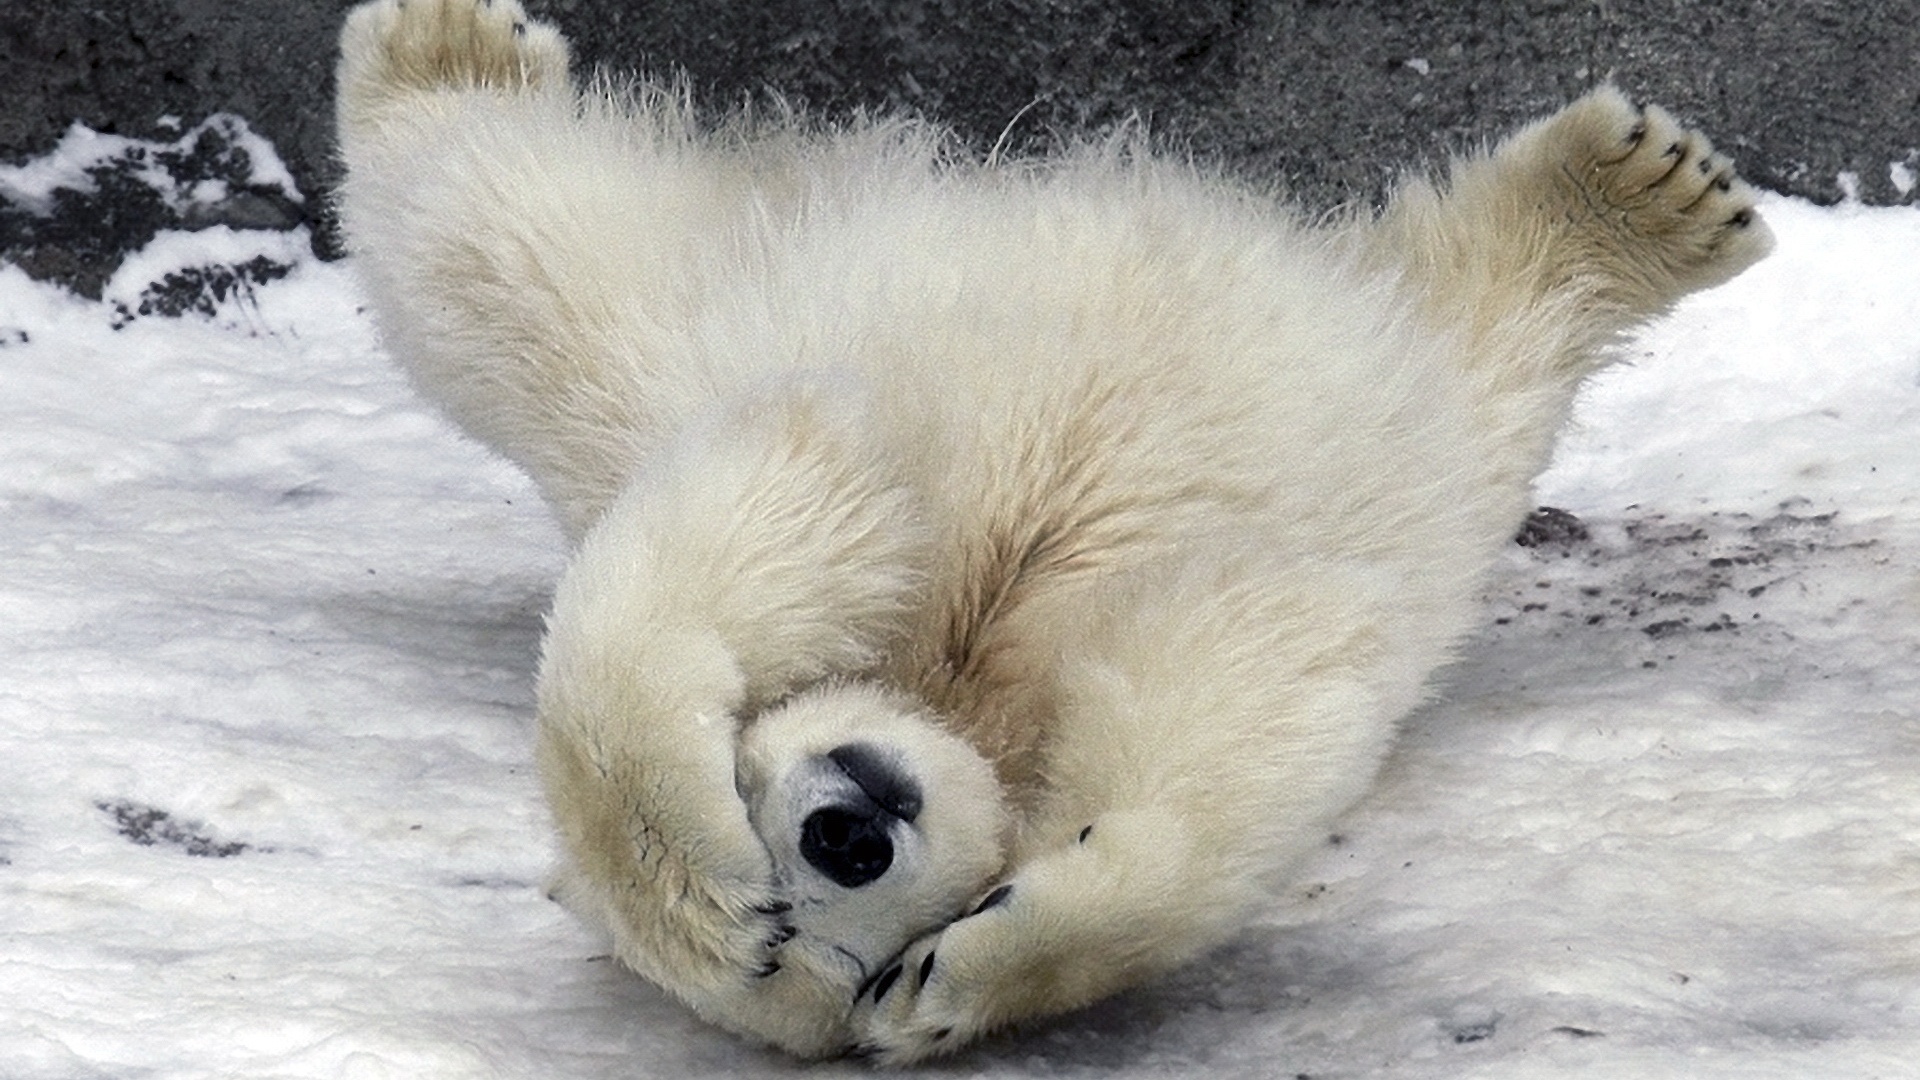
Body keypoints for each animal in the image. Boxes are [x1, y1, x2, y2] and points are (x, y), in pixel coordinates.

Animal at [334, 0, 1771, 1063]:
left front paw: (693, 868)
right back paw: (1639, 203)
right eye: (824, 959)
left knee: (513, 258)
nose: (846, 828)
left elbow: (783, 514)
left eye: (763, 831)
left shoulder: (851, 485)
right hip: (1417, 452)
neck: (958, 682)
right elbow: (1232, 680)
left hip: (688, 330)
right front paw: (990, 960)